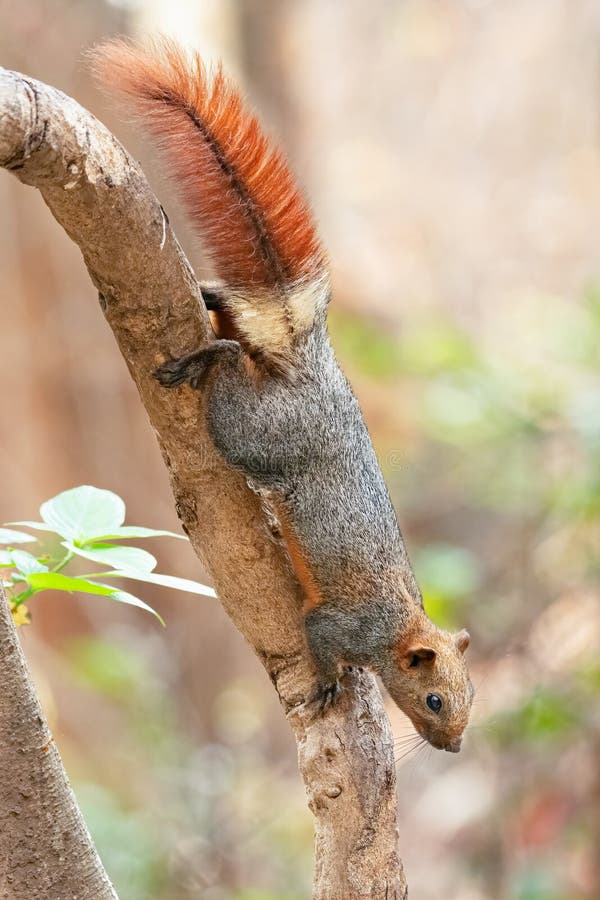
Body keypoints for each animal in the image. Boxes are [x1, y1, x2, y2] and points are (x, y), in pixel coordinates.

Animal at [92, 37, 474, 753]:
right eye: (434, 699)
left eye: (474, 697)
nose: (456, 745)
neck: (399, 628)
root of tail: (307, 366)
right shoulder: (342, 624)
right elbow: (321, 642)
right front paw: (328, 681)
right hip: (253, 431)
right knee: (232, 370)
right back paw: (207, 358)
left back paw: (213, 299)